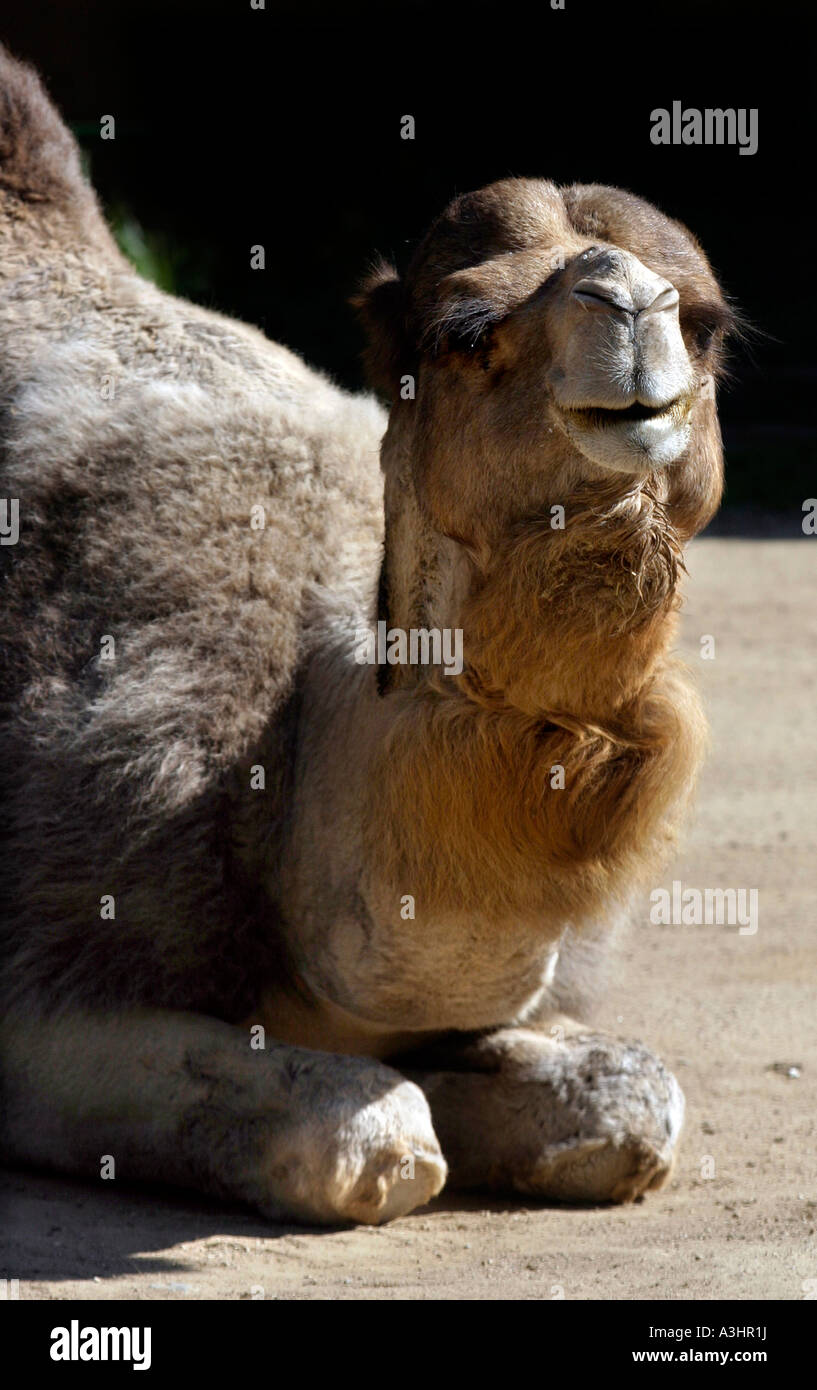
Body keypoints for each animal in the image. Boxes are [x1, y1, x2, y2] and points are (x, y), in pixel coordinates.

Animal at [0, 48, 735, 1225]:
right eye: (460, 333)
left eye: (705, 324)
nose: (626, 303)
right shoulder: (50, 942)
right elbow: (375, 1136)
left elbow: (632, 1103)